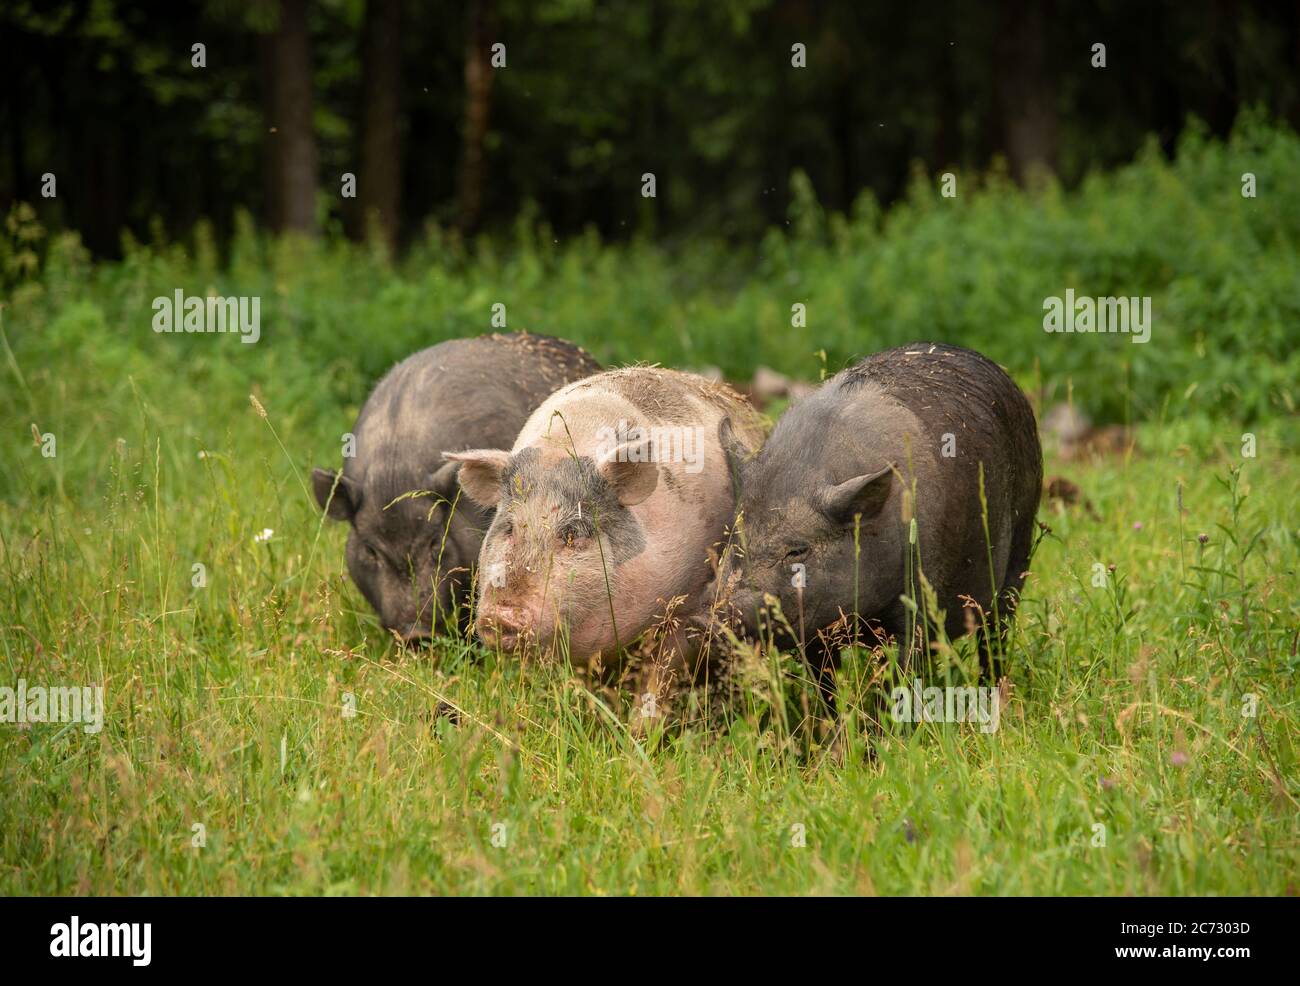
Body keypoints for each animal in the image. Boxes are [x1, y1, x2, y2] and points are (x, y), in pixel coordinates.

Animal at [715, 342, 1042, 674]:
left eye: (798, 550)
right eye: (733, 541)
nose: (722, 613)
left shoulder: (922, 592)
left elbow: (909, 663)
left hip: (1020, 545)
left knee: (995, 635)